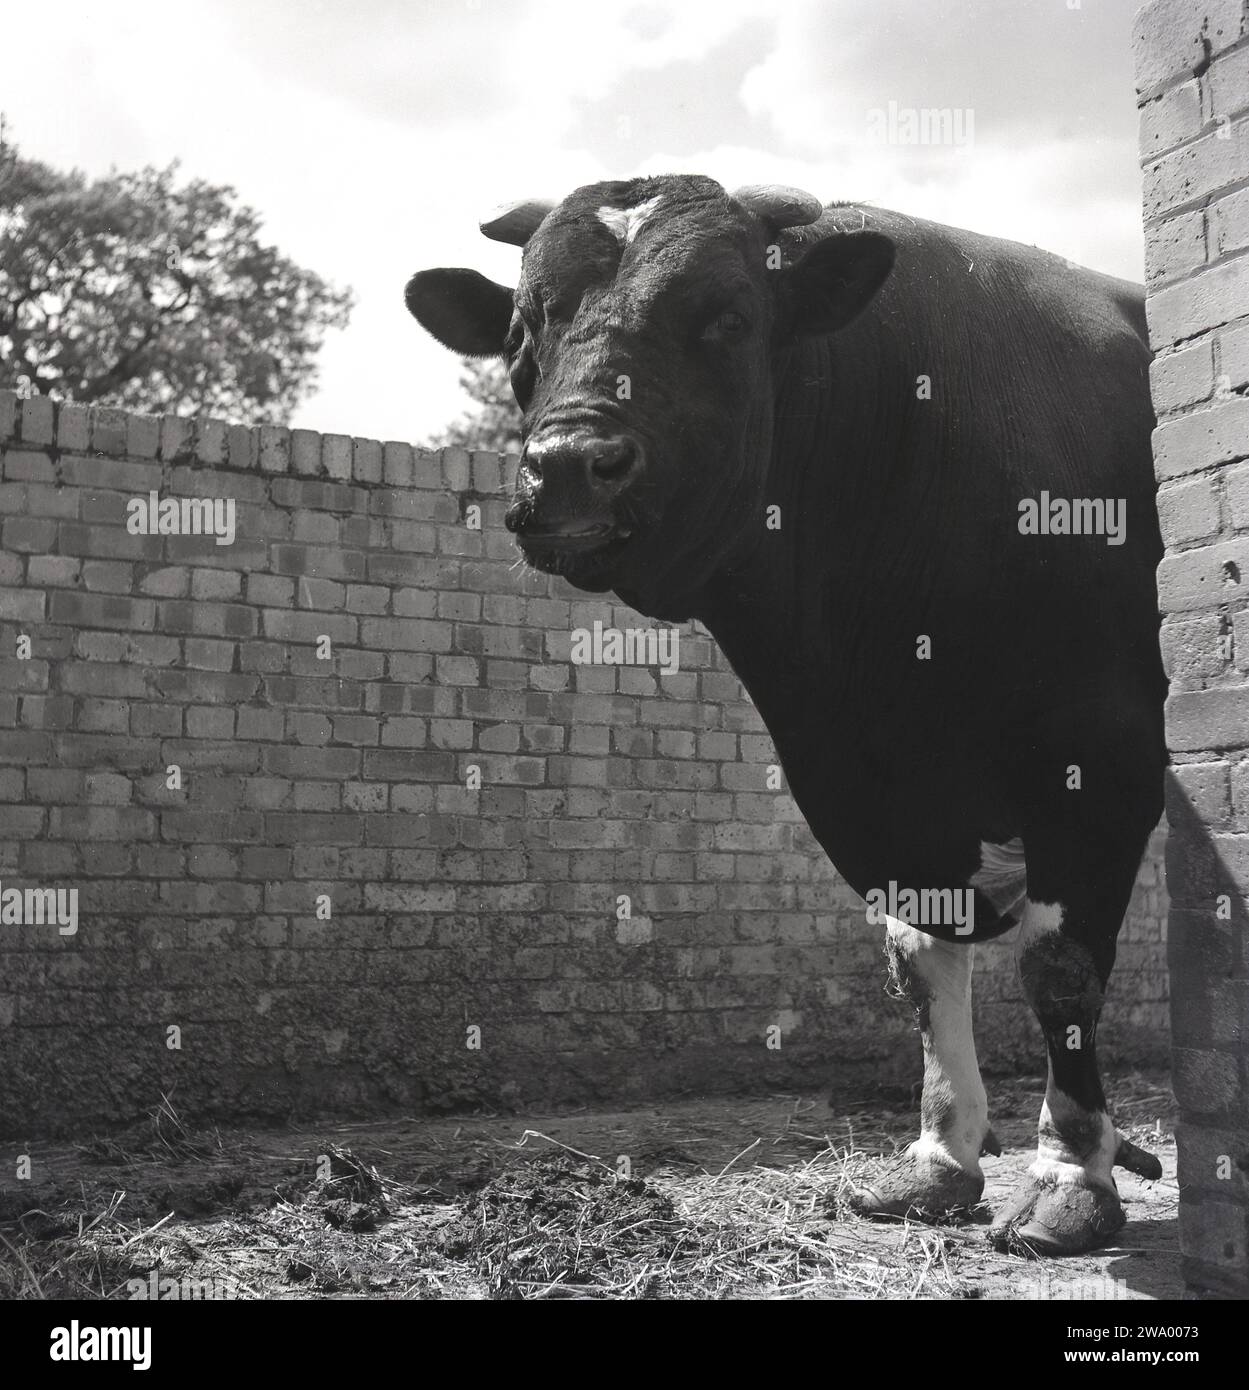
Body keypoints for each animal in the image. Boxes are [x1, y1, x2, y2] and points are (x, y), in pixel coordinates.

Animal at [405, 174, 1167, 1256]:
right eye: (521, 331)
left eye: (725, 319)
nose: (568, 463)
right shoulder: (864, 789)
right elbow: (917, 970)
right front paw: (938, 1162)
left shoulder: (1098, 765)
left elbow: (1059, 971)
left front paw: (1070, 1180)